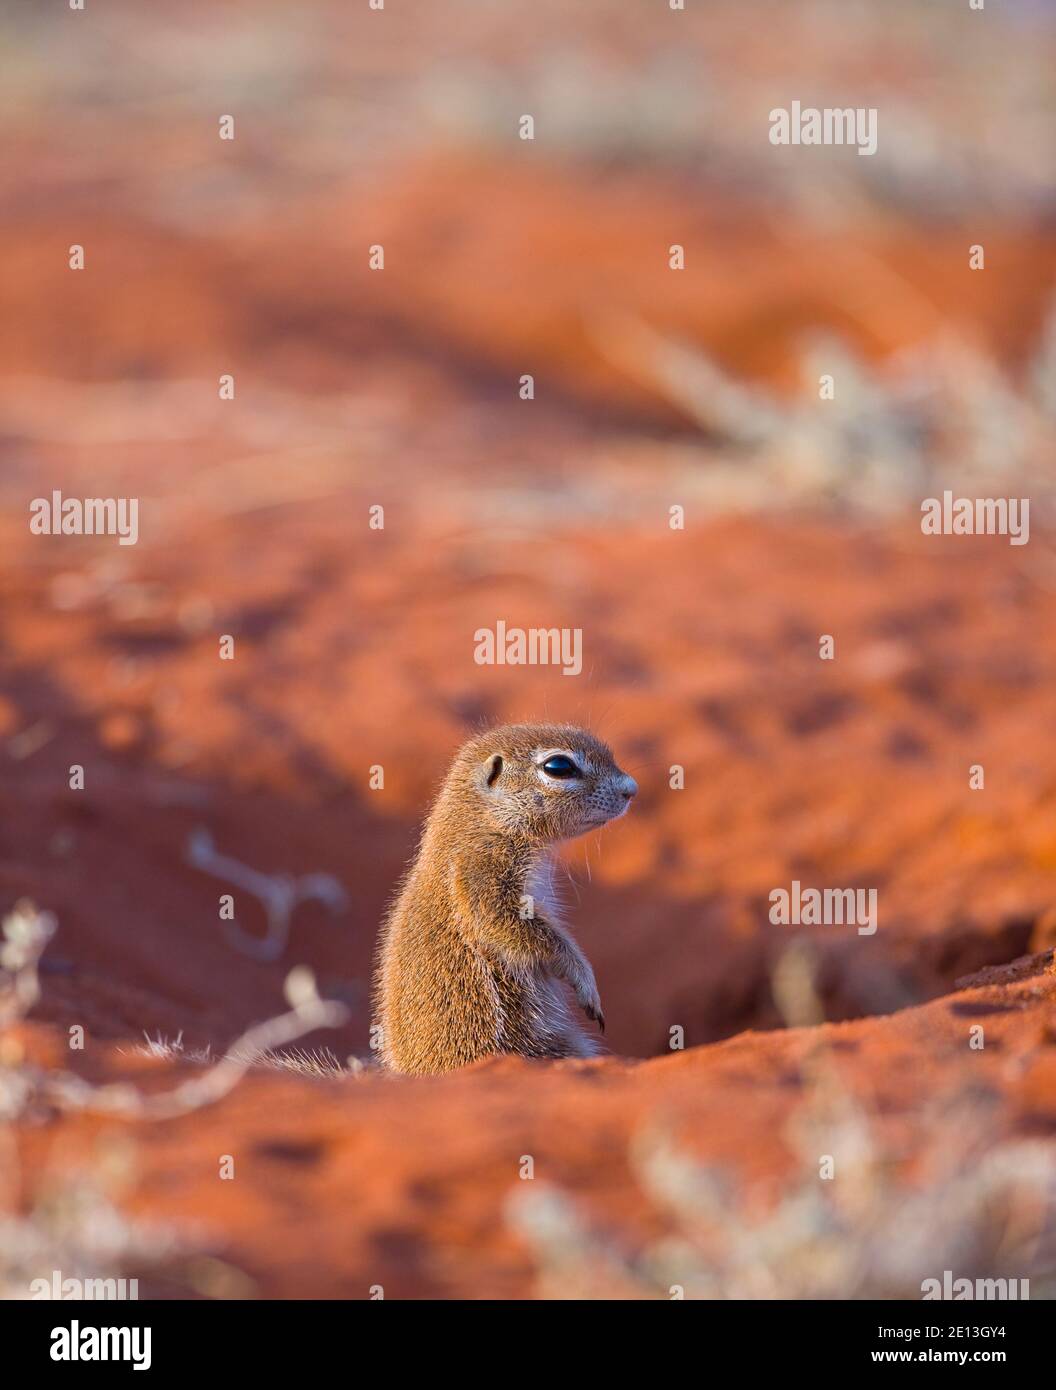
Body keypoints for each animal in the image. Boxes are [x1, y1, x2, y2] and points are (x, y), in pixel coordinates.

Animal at [373, 724, 638, 1075]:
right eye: (558, 766)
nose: (631, 789)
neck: (482, 825)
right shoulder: (481, 873)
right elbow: (512, 929)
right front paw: (585, 982)